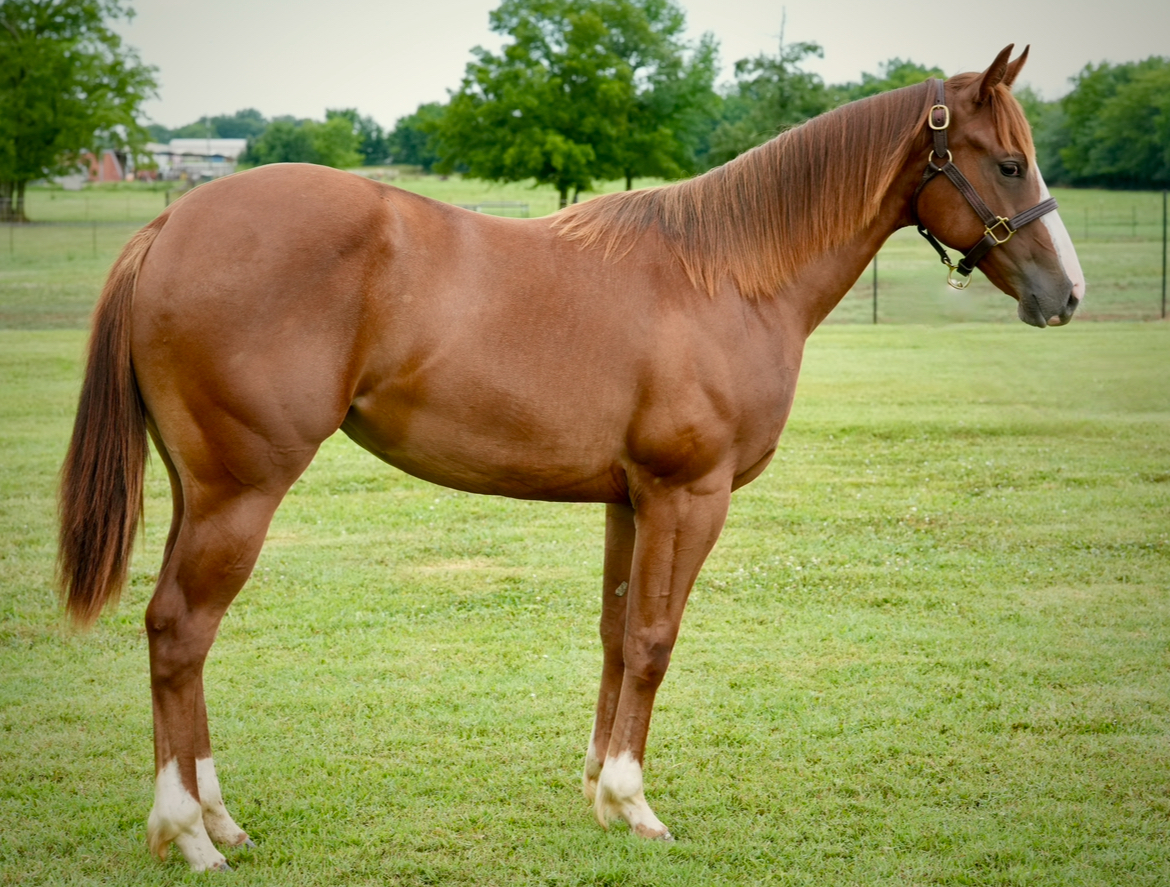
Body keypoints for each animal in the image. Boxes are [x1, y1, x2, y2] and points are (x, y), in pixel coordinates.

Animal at [59, 46, 1084, 871]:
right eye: (1008, 161)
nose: (1067, 293)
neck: (727, 275)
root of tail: (168, 226)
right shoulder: (688, 495)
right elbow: (656, 639)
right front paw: (636, 803)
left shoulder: (629, 500)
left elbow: (614, 633)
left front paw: (598, 791)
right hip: (242, 492)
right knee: (180, 631)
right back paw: (188, 834)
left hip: (198, 490)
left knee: (181, 639)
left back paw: (218, 820)